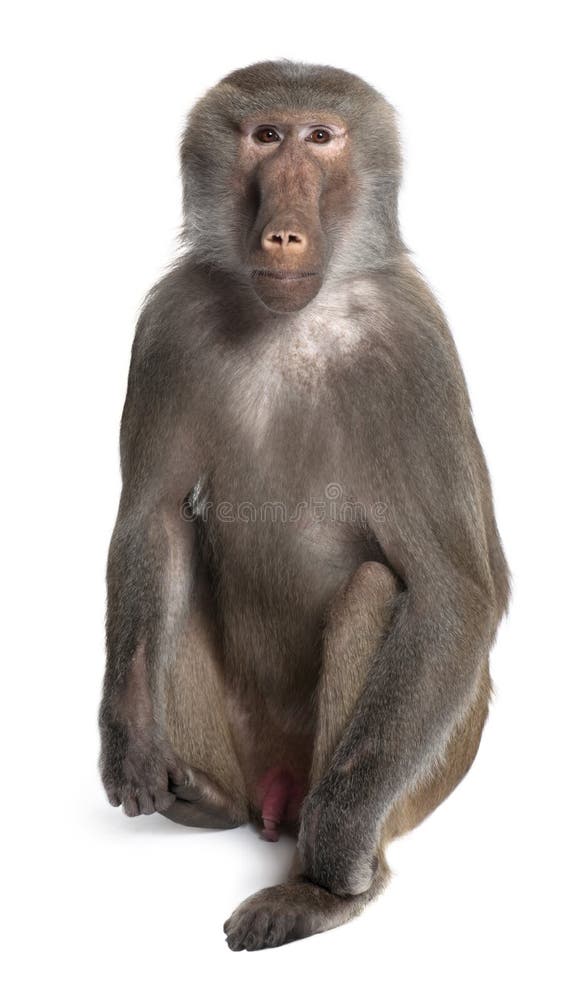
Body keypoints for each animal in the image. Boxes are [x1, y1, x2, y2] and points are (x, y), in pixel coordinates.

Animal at [98, 60, 510, 952]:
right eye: (265, 136)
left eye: (321, 138)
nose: (283, 234)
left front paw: (330, 869)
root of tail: (274, 795)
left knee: (378, 589)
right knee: (179, 553)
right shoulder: (169, 320)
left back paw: (327, 876)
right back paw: (207, 798)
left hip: (424, 766)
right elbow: (151, 520)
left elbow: (454, 592)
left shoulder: (417, 349)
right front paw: (127, 741)